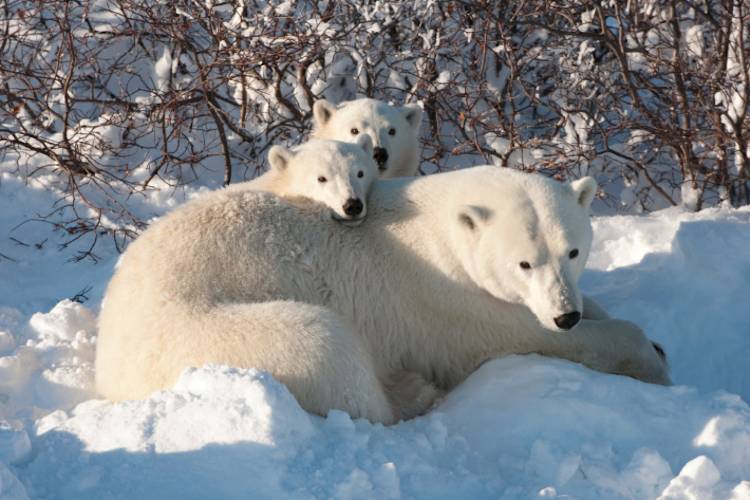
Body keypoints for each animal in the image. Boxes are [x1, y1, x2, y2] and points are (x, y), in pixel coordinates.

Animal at [95, 166, 670, 424]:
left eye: (573, 250)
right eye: (524, 262)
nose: (565, 314)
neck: (437, 227)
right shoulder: (441, 300)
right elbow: (511, 335)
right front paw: (651, 357)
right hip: (205, 335)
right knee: (326, 348)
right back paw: (411, 391)